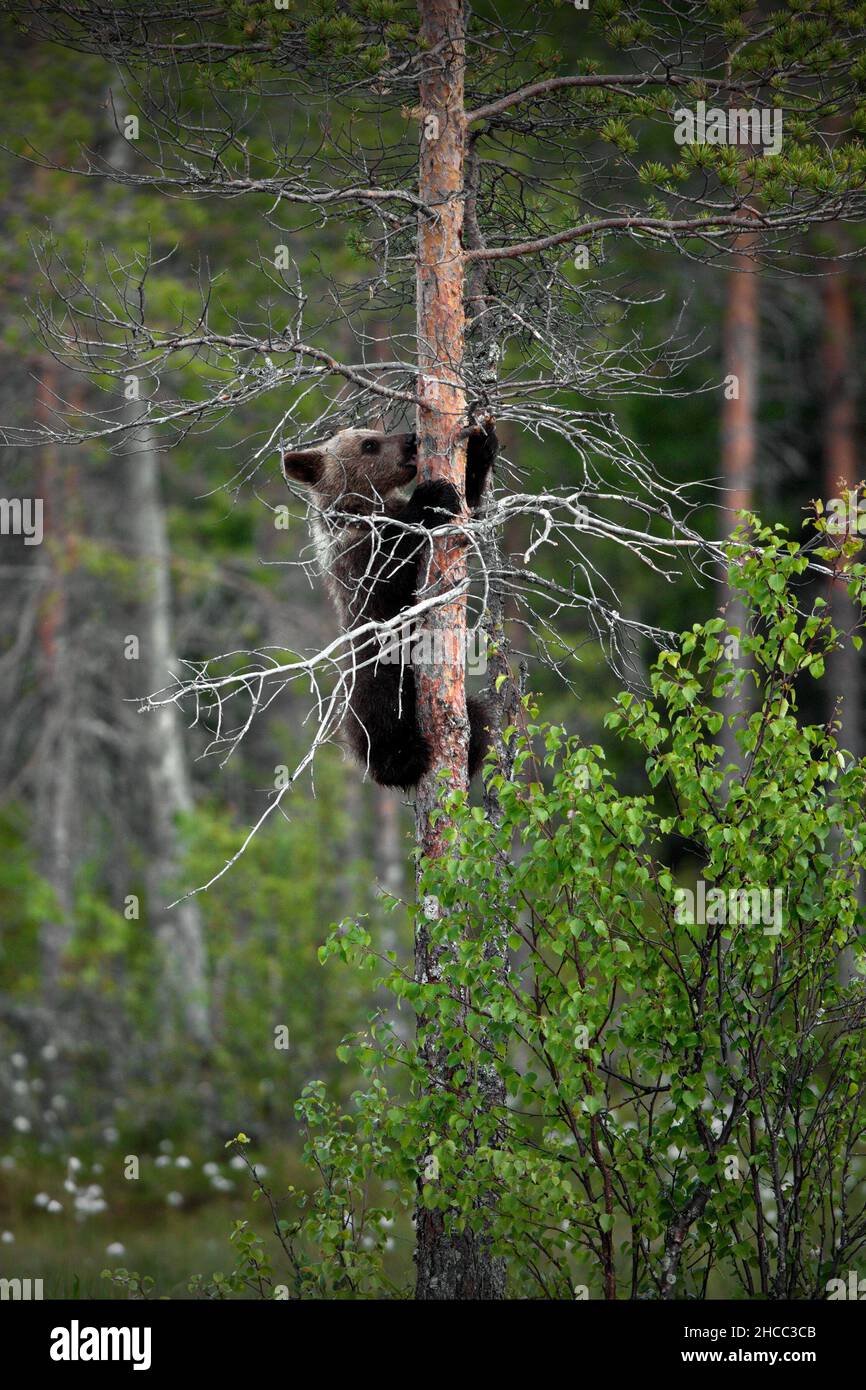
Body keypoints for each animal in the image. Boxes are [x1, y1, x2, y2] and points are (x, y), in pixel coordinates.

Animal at [282, 422, 497, 790]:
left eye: (376, 432)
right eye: (369, 444)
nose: (410, 439)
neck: (365, 509)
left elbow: (465, 515)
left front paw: (481, 445)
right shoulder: (355, 560)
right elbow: (387, 571)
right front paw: (429, 496)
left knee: (479, 716)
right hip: (377, 677)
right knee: (381, 724)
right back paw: (405, 758)